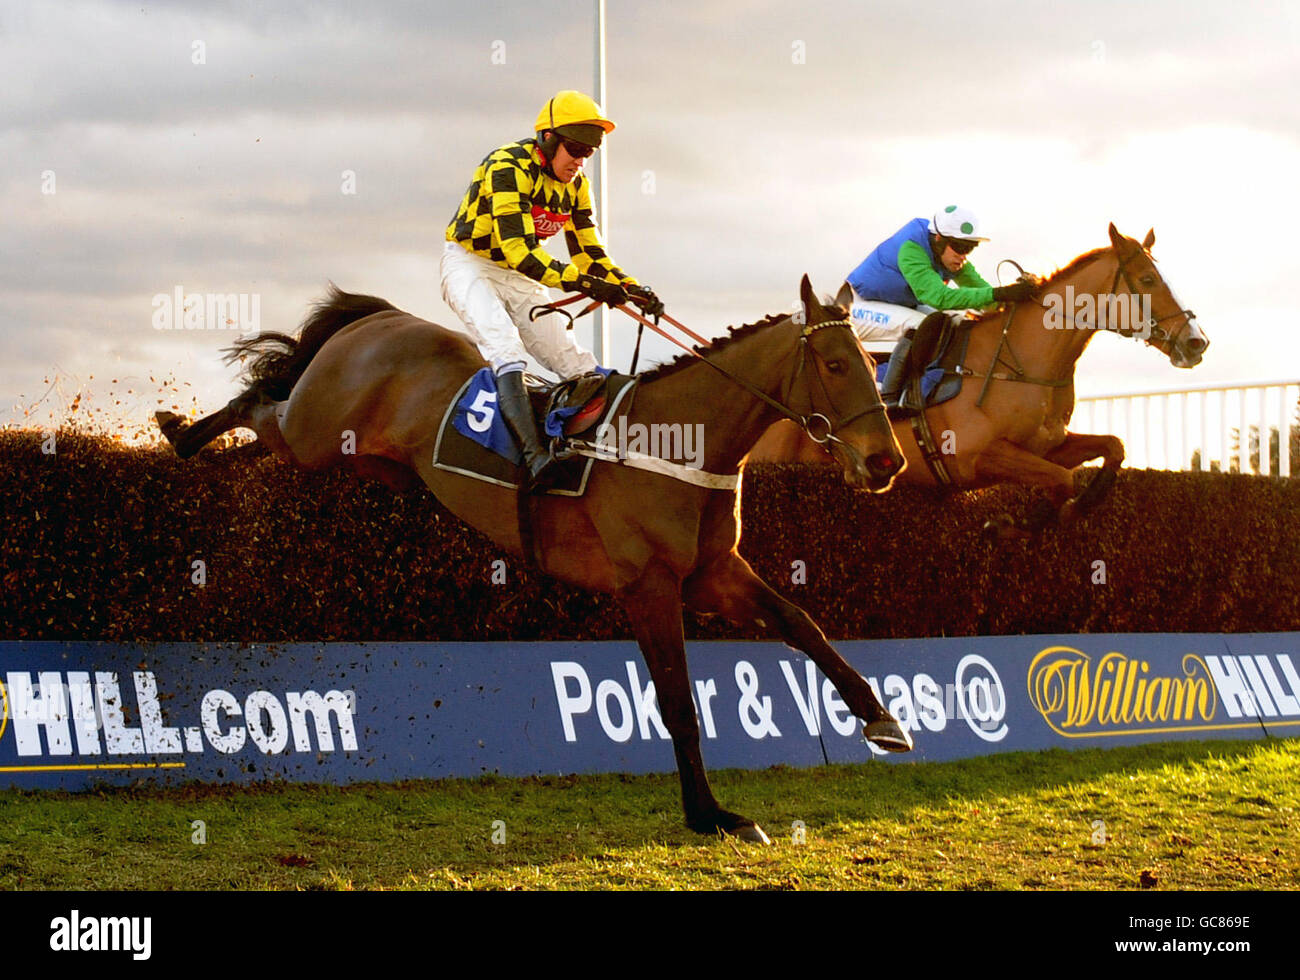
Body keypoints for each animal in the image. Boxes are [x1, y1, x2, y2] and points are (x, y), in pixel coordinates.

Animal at [156, 275, 909, 844]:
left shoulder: (713, 574)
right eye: (835, 364)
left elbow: (802, 623)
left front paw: (882, 719)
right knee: (261, 402)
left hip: (359, 459)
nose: (887, 463)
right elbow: (677, 702)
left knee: (266, 418)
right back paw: (179, 430)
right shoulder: (649, 585)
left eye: (873, 363)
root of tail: (381, 317)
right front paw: (710, 815)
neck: (679, 444)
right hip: (315, 430)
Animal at [747, 225, 1209, 535]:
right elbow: (1063, 482)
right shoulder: (977, 457)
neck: (1022, 364)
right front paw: (1014, 525)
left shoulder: (1048, 448)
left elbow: (1112, 448)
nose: (1196, 342)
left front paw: (1075, 508)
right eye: (1147, 280)